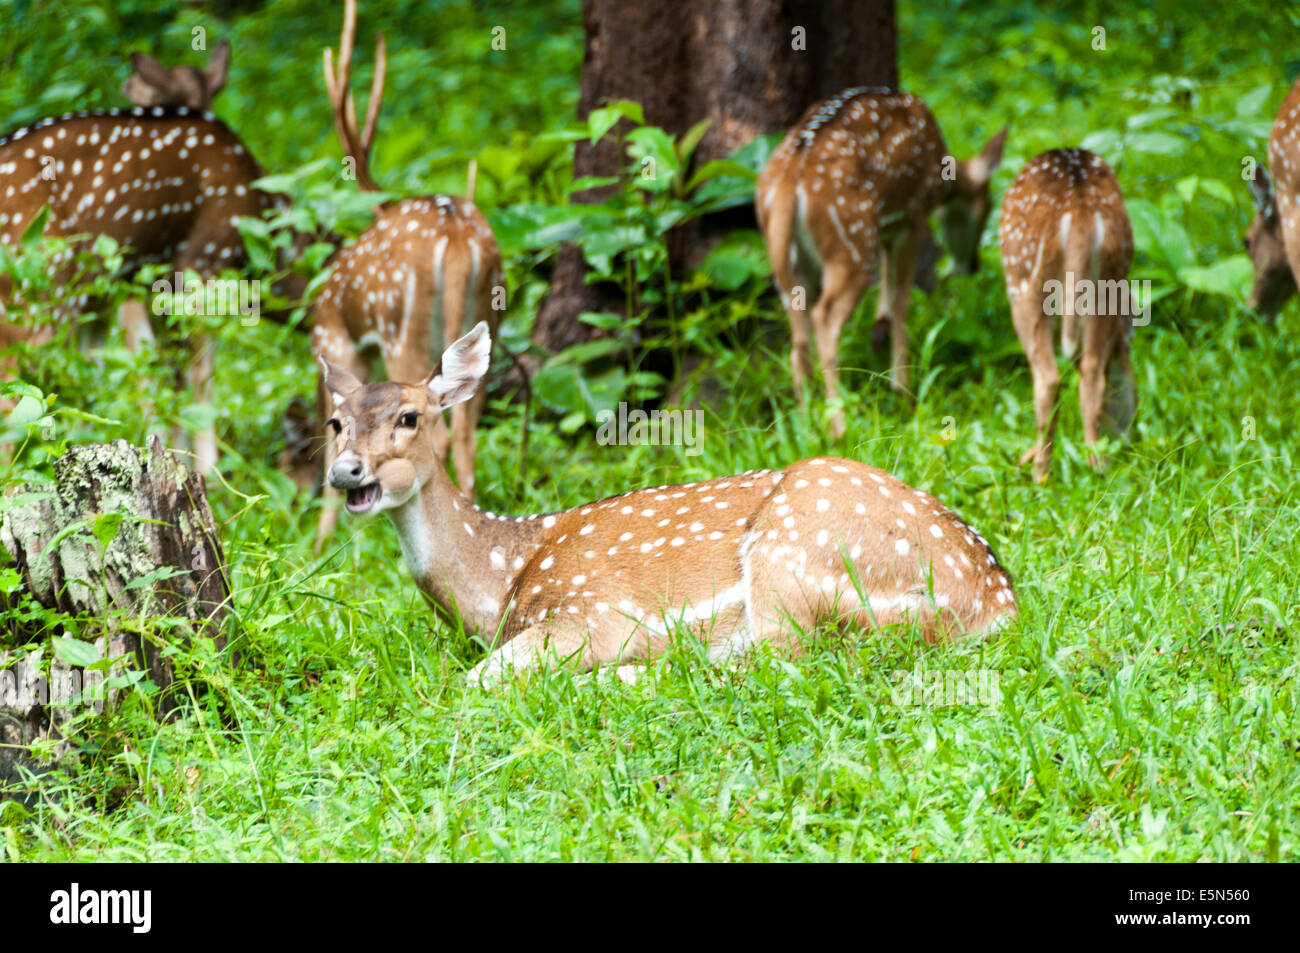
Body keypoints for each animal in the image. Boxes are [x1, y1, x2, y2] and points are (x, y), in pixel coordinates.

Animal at [311, 0, 503, 547]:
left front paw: (320, 544)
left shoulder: (334, 338)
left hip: (403, 328)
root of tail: (455, 232)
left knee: (443, 429)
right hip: (488, 315)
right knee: (465, 430)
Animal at [320, 322, 1019, 687]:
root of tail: (996, 607)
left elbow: (475, 679)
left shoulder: (588, 611)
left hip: (793, 554)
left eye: (410, 416)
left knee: (773, 660)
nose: (345, 471)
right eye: (335, 422)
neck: (503, 582)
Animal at [756, 87, 1006, 437]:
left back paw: (806, 426)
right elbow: (902, 298)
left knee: (797, 339)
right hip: (851, 241)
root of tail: (789, 181)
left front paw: (879, 333)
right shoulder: (914, 214)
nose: (972, 265)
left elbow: (888, 282)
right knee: (824, 317)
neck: (942, 175)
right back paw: (839, 425)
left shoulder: (889, 224)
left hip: (785, 258)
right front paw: (903, 390)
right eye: (986, 209)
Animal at [998, 148, 1136, 483]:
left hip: (1025, 280)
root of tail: (1080, 210)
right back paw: (1097, 466)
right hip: (1109, 280)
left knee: (1048, 378)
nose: (1127, 442)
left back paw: (1039, 474)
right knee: (1091, 372)